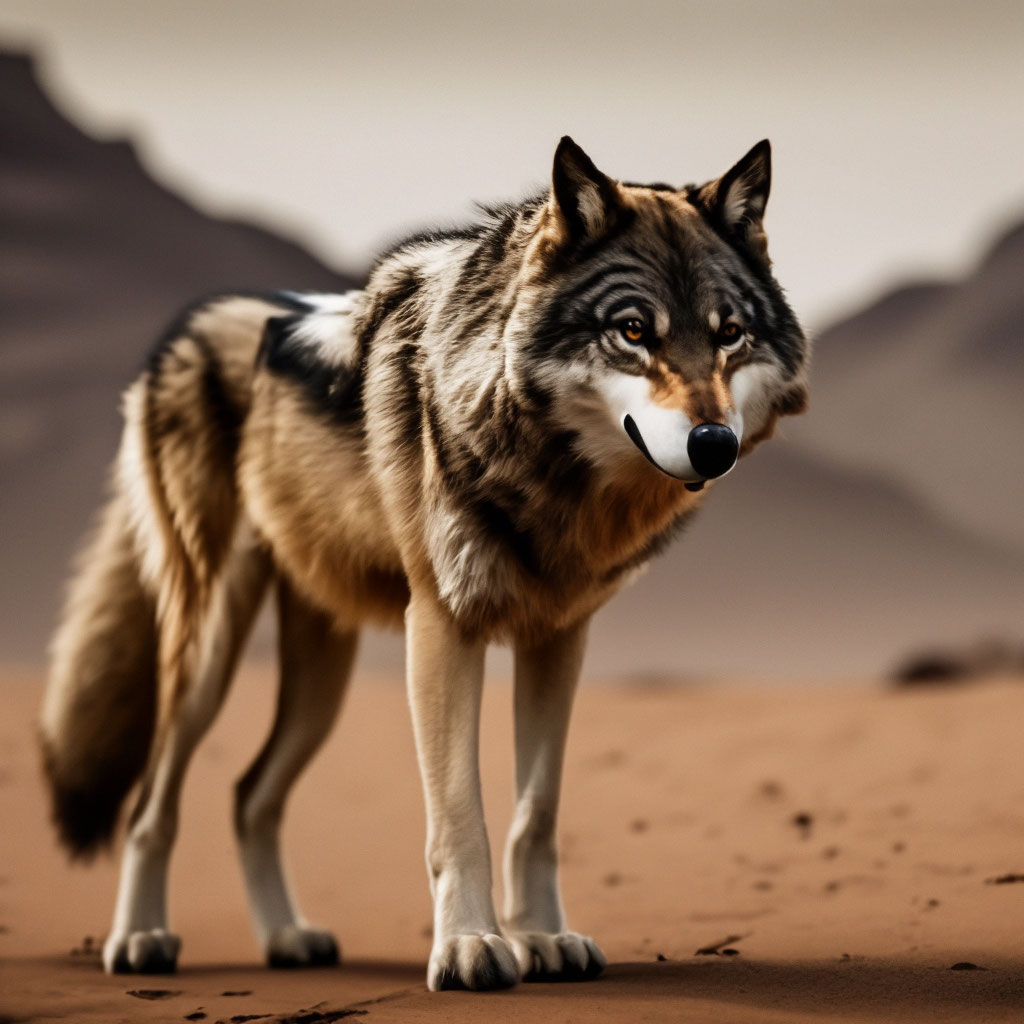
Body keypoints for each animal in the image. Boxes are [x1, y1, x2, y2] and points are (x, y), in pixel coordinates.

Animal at [39, 137, 808, 990]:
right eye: (634, 331)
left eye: (729, 333)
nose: (715, 444)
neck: (549, 481)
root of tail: (186, 325)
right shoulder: (443, 629)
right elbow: (460, 817)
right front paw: (471, 945)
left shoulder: (558, 639)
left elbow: (535, 816)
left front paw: (542, 938)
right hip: (208, 649)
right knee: (152, 805)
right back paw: (140, 939)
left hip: (323, 681)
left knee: (248, 795)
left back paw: (286, 938)